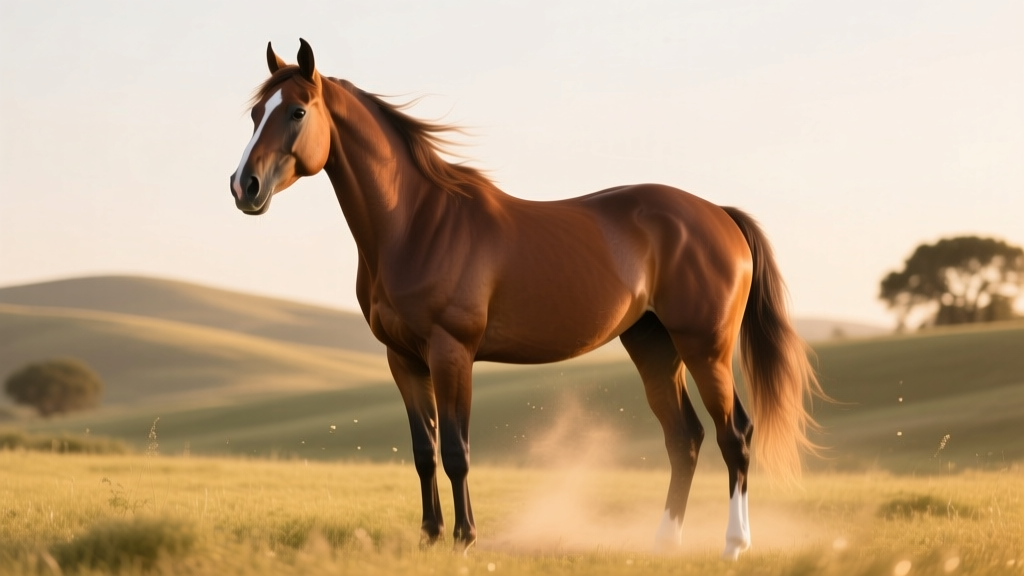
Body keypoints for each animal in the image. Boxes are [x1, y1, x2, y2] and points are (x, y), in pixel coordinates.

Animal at [229, 39, 822, 559]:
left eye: (297, 112)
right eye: (257, 111)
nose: (244, 187)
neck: (416, 225)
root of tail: (719, 215)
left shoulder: (452, 353)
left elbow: (457, 451)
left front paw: (465, 539)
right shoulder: (404, 360)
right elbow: (424, 452)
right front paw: (428, 537)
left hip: (706, 349)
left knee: (734, 436)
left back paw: (734, 544)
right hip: (653, 345)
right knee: (685, 438)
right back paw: (663, 543)